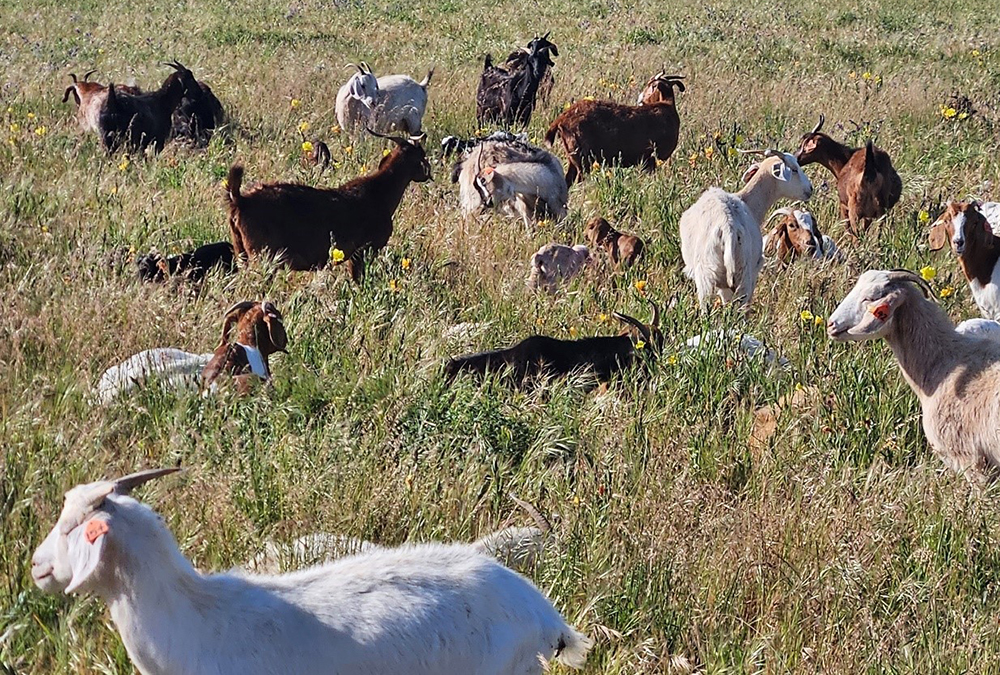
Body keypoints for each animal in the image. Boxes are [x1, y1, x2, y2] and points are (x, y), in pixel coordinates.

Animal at [226, 131, 431, 281]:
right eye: (422, 155)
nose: (428, 173)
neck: (380, 192)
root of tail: (241, 200)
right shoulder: (363, 252)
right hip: (263, 257)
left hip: (241, 252)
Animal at [544, 73, 684, 185]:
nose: (640, 99)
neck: (667, 106)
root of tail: (562, 119)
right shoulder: (651, 159)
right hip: (583, 157)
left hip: (573, 156)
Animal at [679, 150, 813, 308]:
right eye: (794, 169)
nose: (810, 189)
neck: (748, 202)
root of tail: (728, 227)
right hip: (739, 273)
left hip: (712, 275)